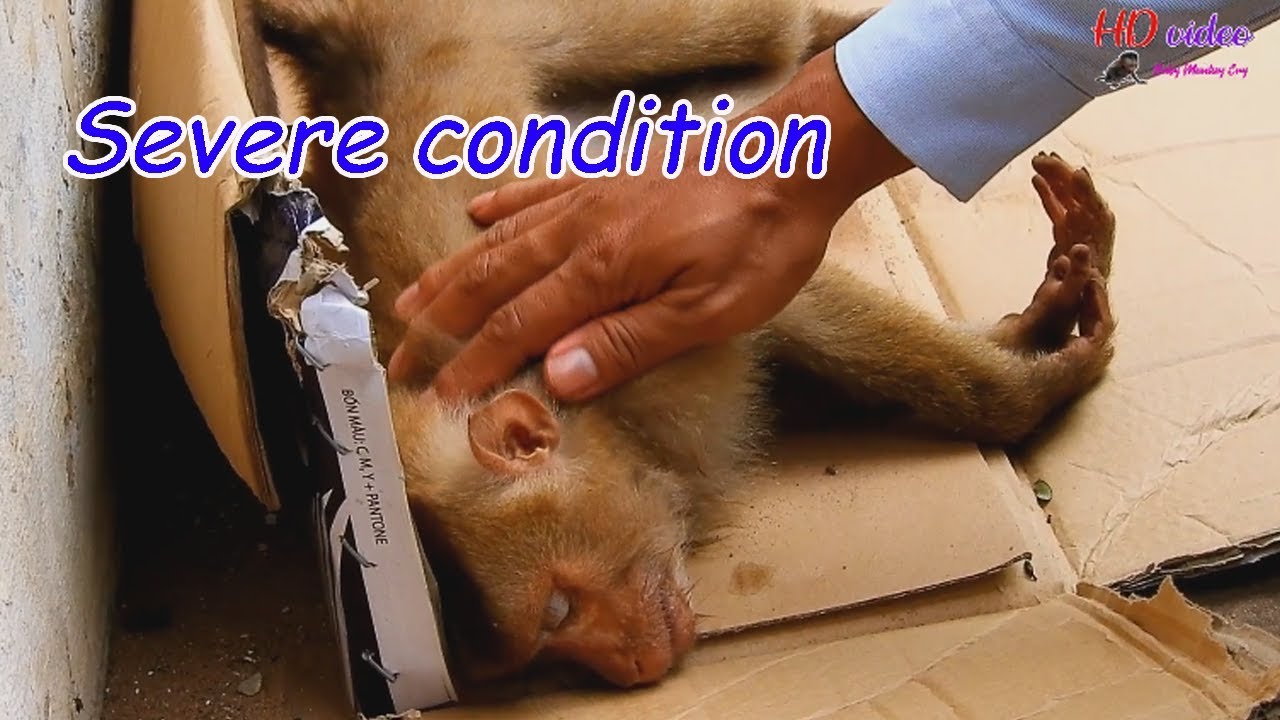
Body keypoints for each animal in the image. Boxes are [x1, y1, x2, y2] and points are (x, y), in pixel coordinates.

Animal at [247, 0, 1117, 696]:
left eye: (557, 607)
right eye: (544, 653)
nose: (629, 670)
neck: (602, 421)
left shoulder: (648, 319)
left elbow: (794, 298)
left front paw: (1031, 386)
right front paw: (1034, 323)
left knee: (759, 29)